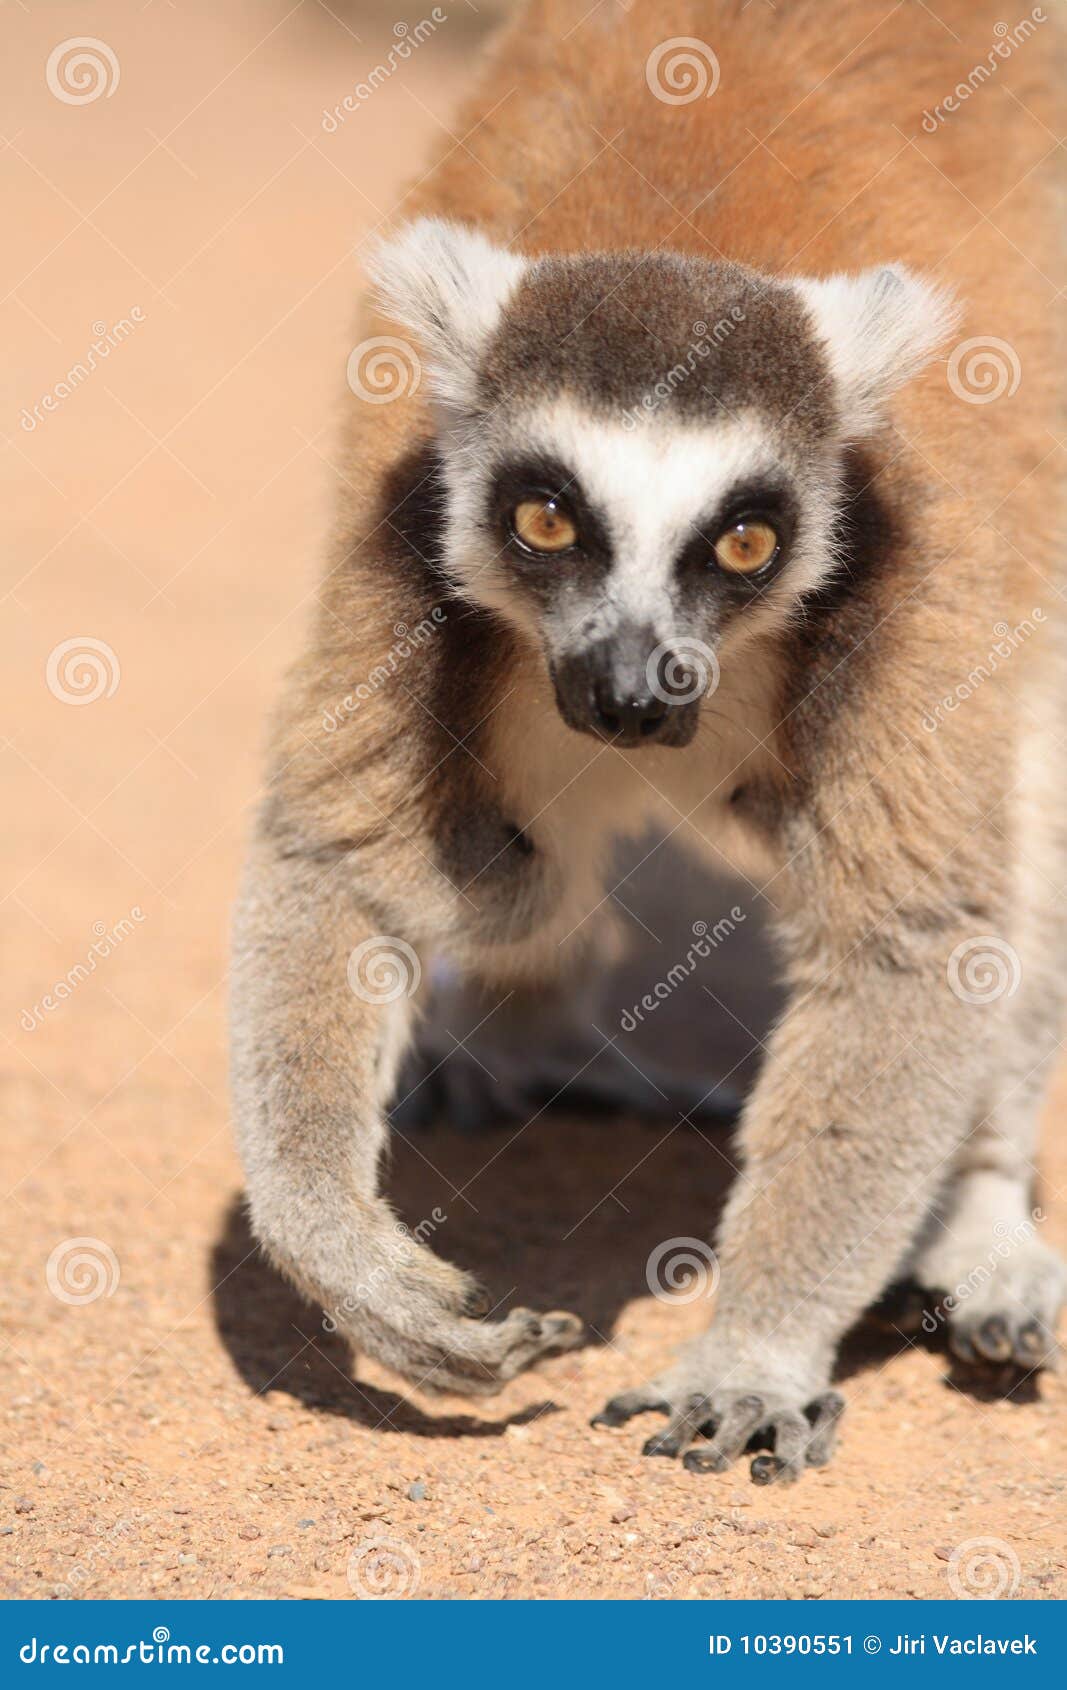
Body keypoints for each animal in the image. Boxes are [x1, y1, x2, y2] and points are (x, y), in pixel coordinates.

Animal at [230, 0, 1066, 1483]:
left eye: (742, 542)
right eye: (544, 519)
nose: (632, 691)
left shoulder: (911, 578)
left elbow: (913, 940)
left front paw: (752, 1353)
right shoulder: (402, 543)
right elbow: (340, 860)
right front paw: (355, 1270)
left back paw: (976, 1222)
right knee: (515, 853)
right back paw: (520, 1037)